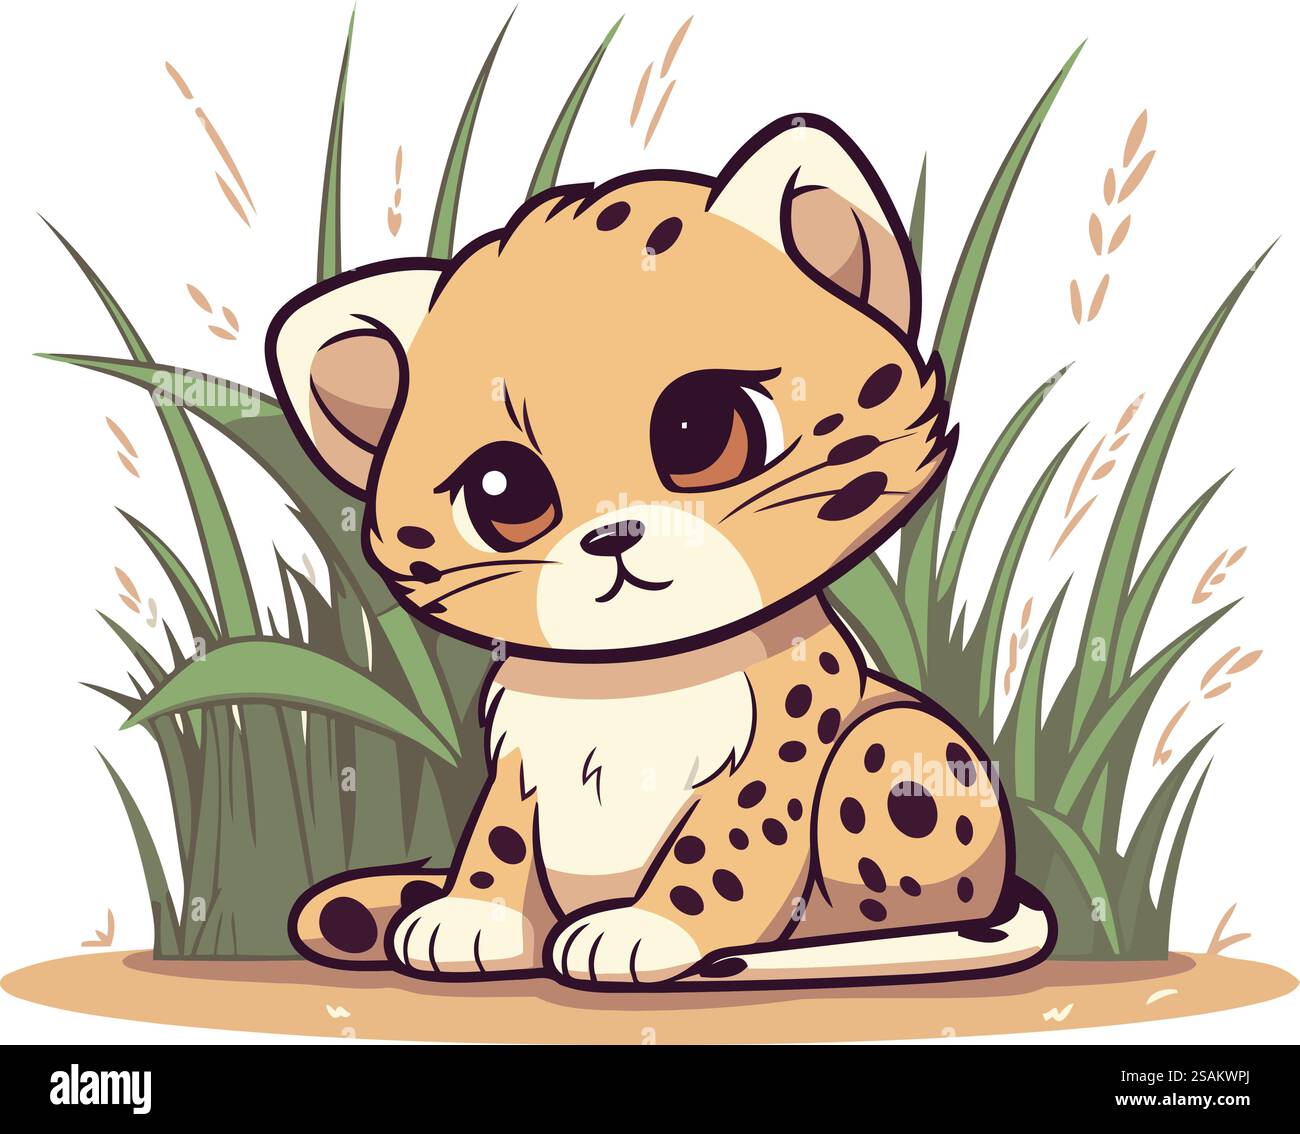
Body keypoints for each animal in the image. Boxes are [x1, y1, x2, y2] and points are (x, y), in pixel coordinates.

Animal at [268, 113, 1055, 987]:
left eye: (705, 432)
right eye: (501, 492)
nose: (613, 537)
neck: (632, 676)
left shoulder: (777, 749)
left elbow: (724, 847)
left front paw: (645, 929)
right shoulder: (519, 761)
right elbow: (499, 840)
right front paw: (472, 916)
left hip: (892, 745)